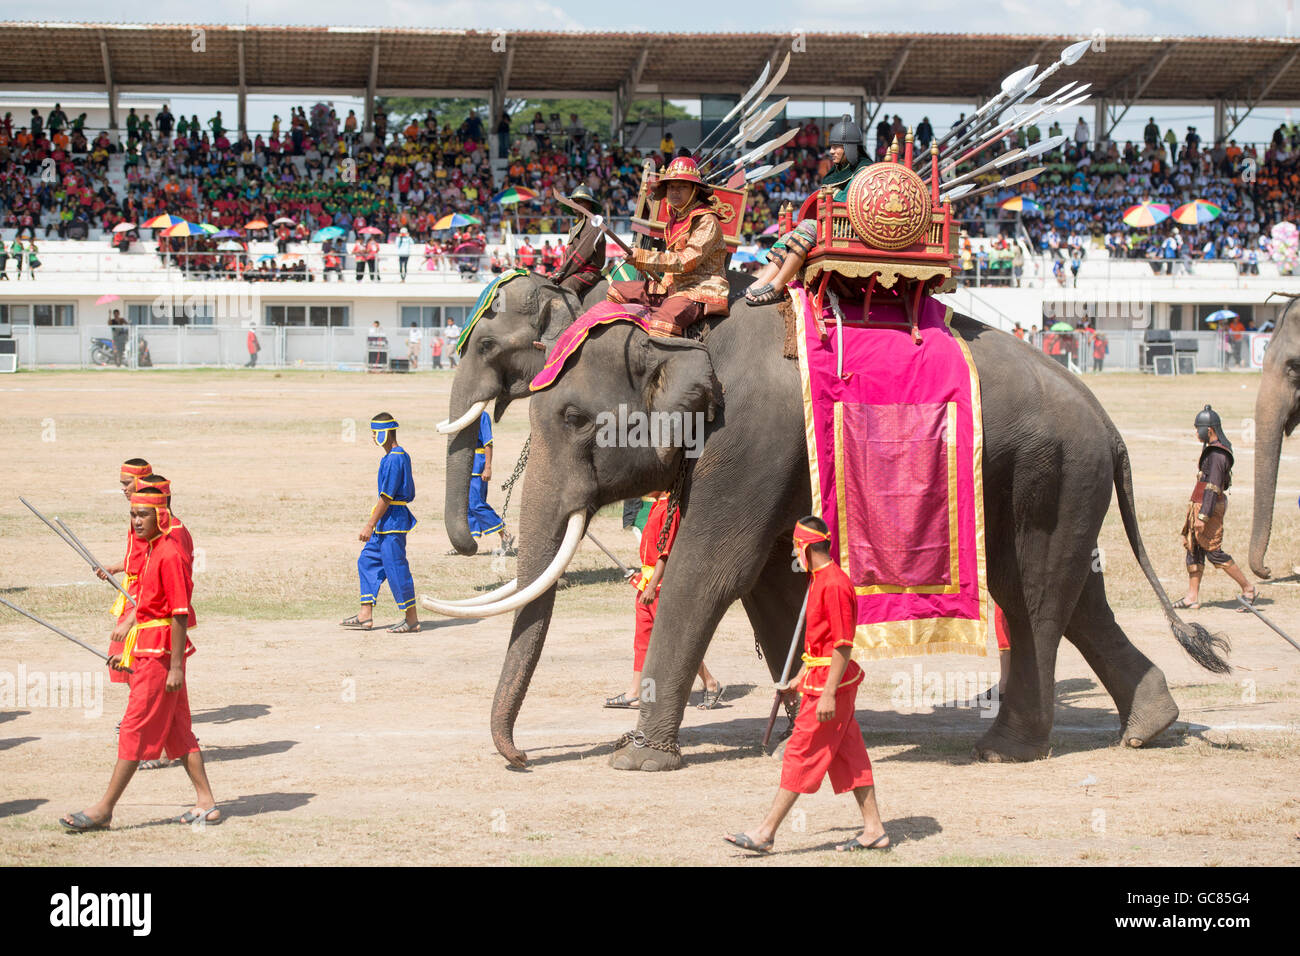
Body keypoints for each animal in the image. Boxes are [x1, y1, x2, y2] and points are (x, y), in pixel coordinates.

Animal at [428, 277, 1232, 771]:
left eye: (571, 418)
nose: (520, 758)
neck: (675, 323)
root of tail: (1111, 425)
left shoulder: (750, 436)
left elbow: (712, 569)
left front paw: (638, 758)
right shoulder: (771, 456)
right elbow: (767, 582)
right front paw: (797, 729)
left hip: (1052, 470)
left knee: (1032, 594)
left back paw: (1006, 750)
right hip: (1057, 478)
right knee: (1069, 593)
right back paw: (1150, 726)